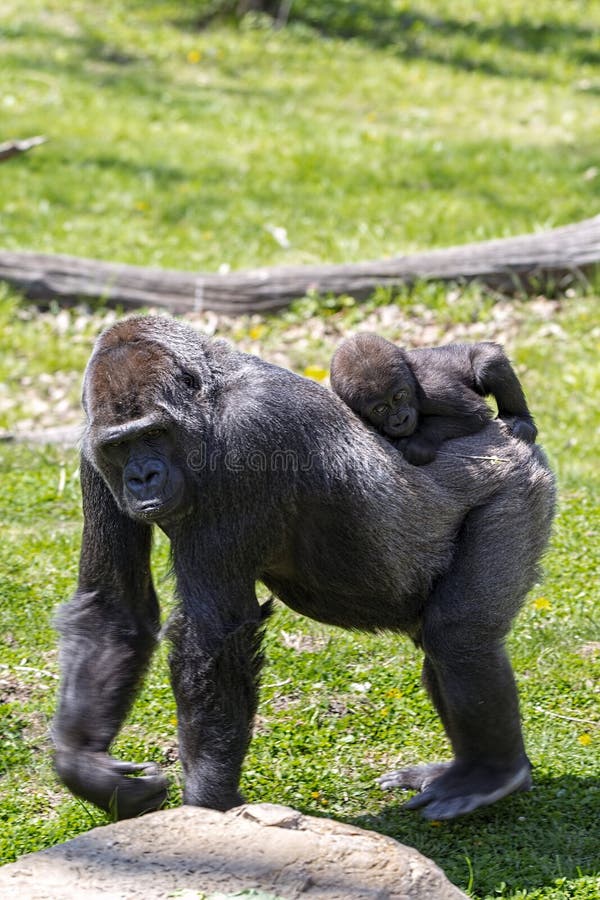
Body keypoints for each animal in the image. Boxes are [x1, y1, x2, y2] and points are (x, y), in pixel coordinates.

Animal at [330, 333, 537, 466]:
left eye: (399, 396)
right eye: (380, 409)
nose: (401, 419)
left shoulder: (433, 388)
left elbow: (474, 414)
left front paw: (419, 443)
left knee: (489, 363)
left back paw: (521, 421)